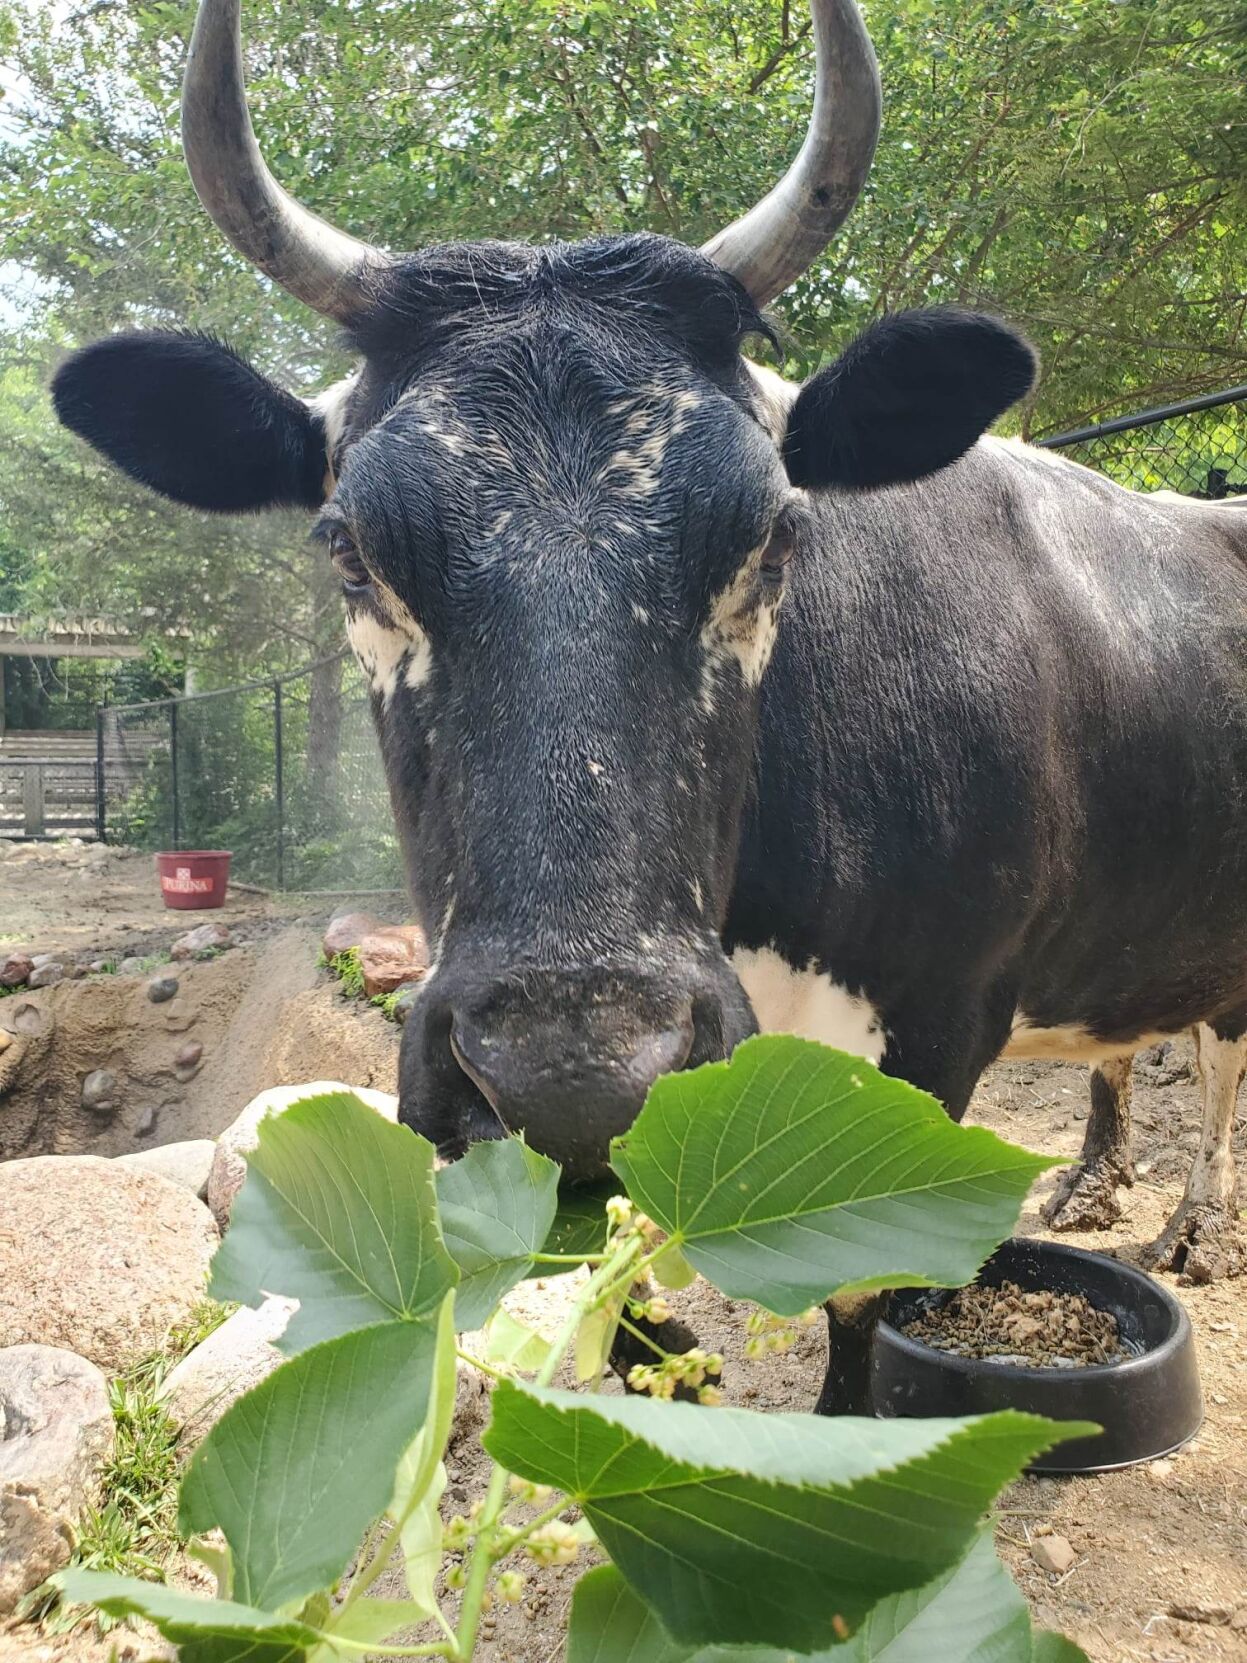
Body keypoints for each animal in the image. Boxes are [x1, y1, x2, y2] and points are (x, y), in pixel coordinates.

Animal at [53, 0, 1247, 1409]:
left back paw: (1190, 1223)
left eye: (775, 536)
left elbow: (858, 1303)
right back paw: (1095, 1182)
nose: (573, 1075)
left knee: (1216, 1069)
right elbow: (614, 1303)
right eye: (348, 548)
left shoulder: (942, 1018)